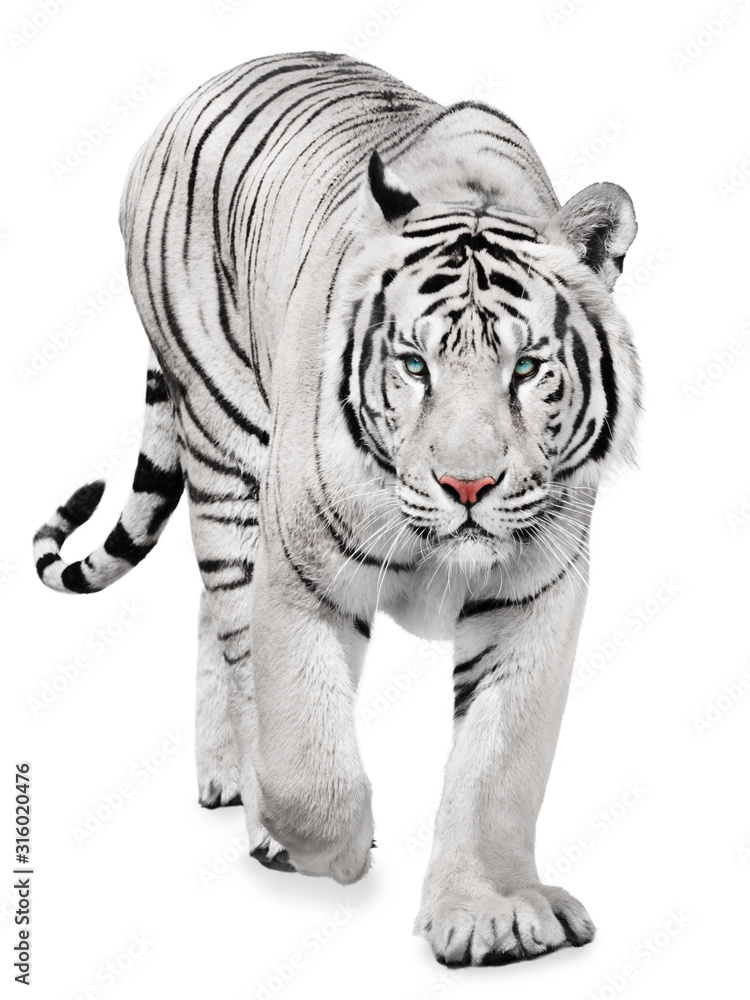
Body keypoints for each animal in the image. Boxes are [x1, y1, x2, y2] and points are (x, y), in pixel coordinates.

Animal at [33, 51, 641, 967]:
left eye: (529, 368)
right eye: (414, 365)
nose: (468, 488)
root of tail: (202, 86)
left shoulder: (535, 588)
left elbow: (500, 762)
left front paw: (491, 915)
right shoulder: (300, 567)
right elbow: (305, 755)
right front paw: (325, 845)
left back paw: (221, 777)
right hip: (226, 453)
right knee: (232, 627)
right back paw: (253, 807)